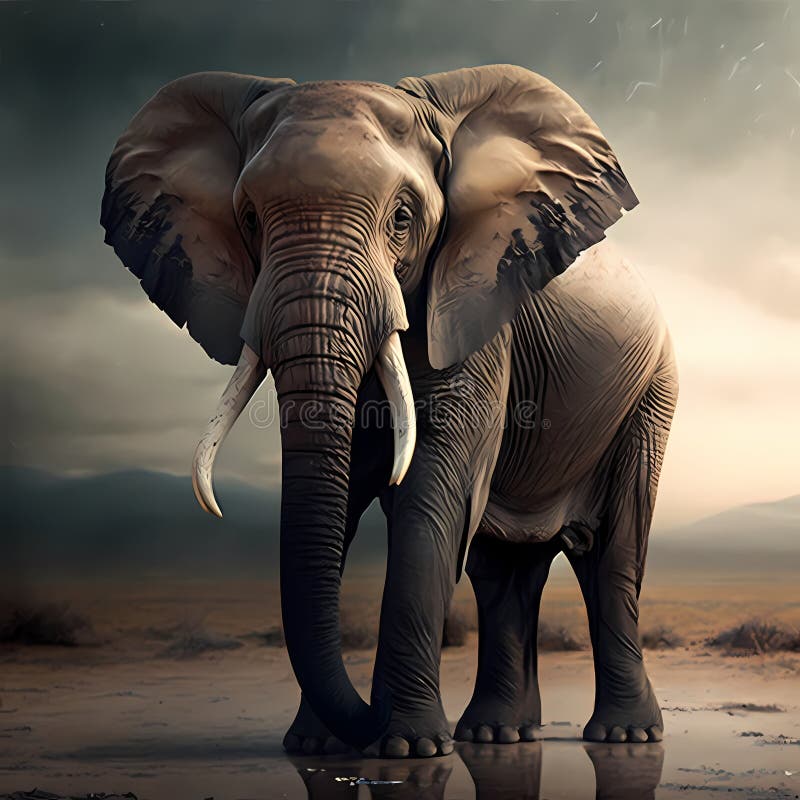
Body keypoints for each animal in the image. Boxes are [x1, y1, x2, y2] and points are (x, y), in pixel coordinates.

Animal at [101, 64, 678, 759]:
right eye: (248, 219)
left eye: (403, 218)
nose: (365, 716)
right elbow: (346, 492)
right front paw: (317, 748)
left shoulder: (474, 308)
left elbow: (432, 496)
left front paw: (406, 747)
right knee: (503, 571)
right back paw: (496, 734)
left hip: (650, 394)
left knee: (613, 554)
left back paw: (624, 735)